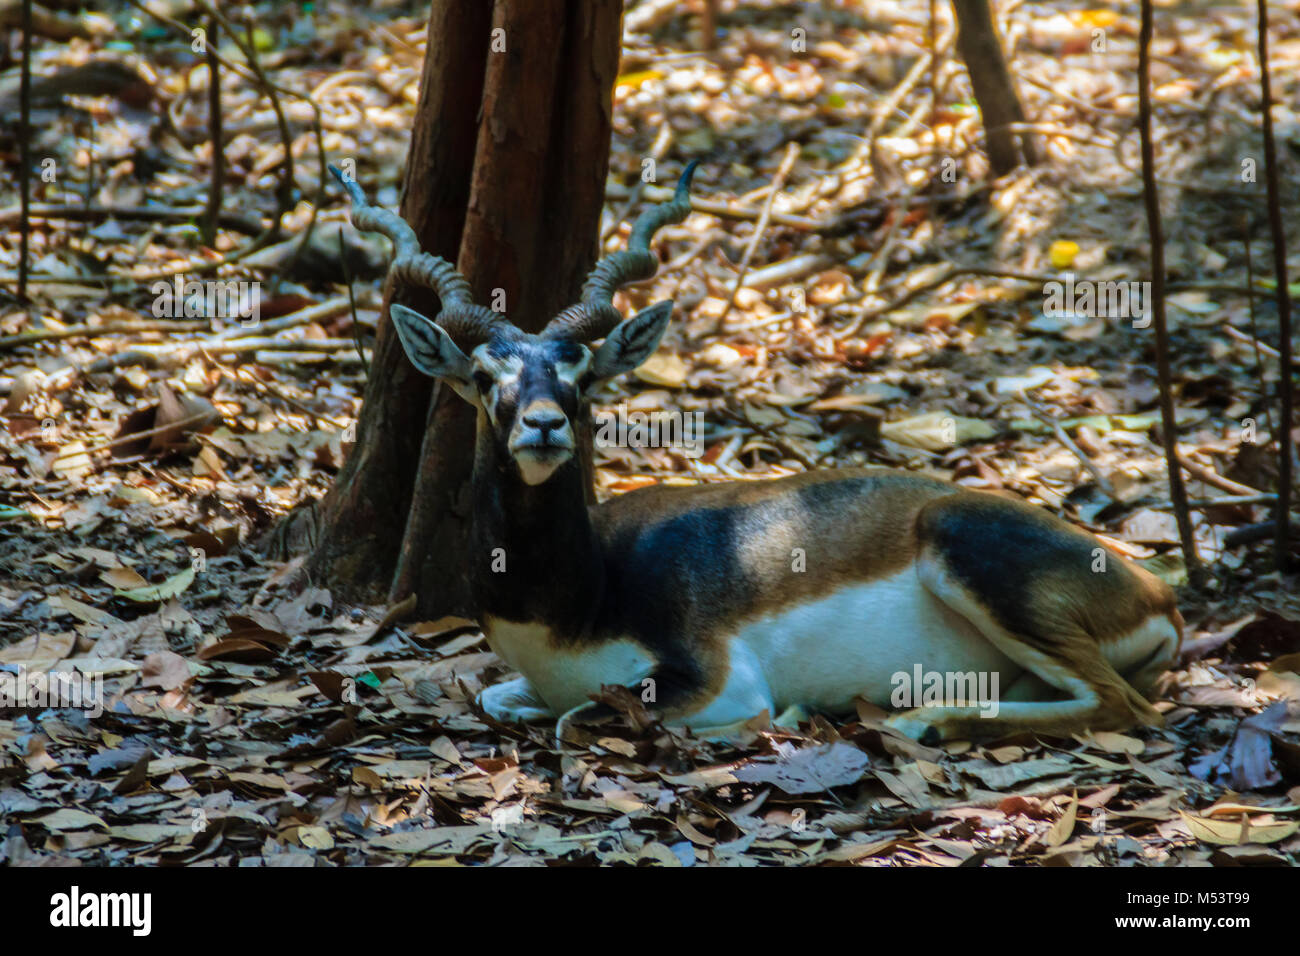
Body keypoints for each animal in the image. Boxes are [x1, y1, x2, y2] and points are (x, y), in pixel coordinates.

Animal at [332, 164, 1182, 745]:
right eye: (484, 377)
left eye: (582, 374)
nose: (543, 425)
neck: (575, 597)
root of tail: (1155, 593)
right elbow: (498, 697)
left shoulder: (720, 684)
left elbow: (580, 717)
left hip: (969, 558)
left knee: (1126, 706)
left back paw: (919, 723)